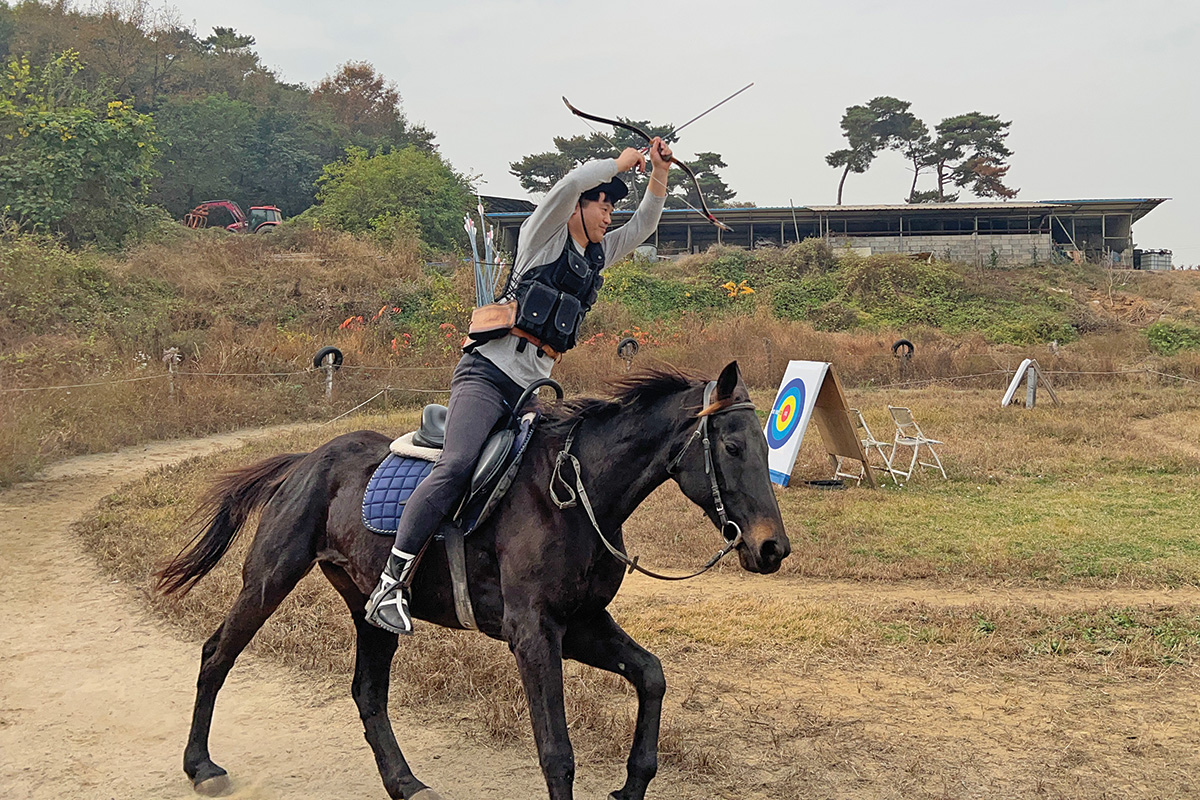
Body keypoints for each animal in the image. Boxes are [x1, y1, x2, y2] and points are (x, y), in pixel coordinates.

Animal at [157, 360, 791, 800]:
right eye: (733, 446)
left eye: (768, 444)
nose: (772, 548)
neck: (573, 493)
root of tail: (306, 460)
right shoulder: (533, 633)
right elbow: (556, 752)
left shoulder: (581, 624)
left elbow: (652, 676)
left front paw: (631, 784)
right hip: (270, 577)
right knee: (217, 655)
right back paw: (200, 766)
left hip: (368, 608)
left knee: (368, 694)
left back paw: (406, 783)